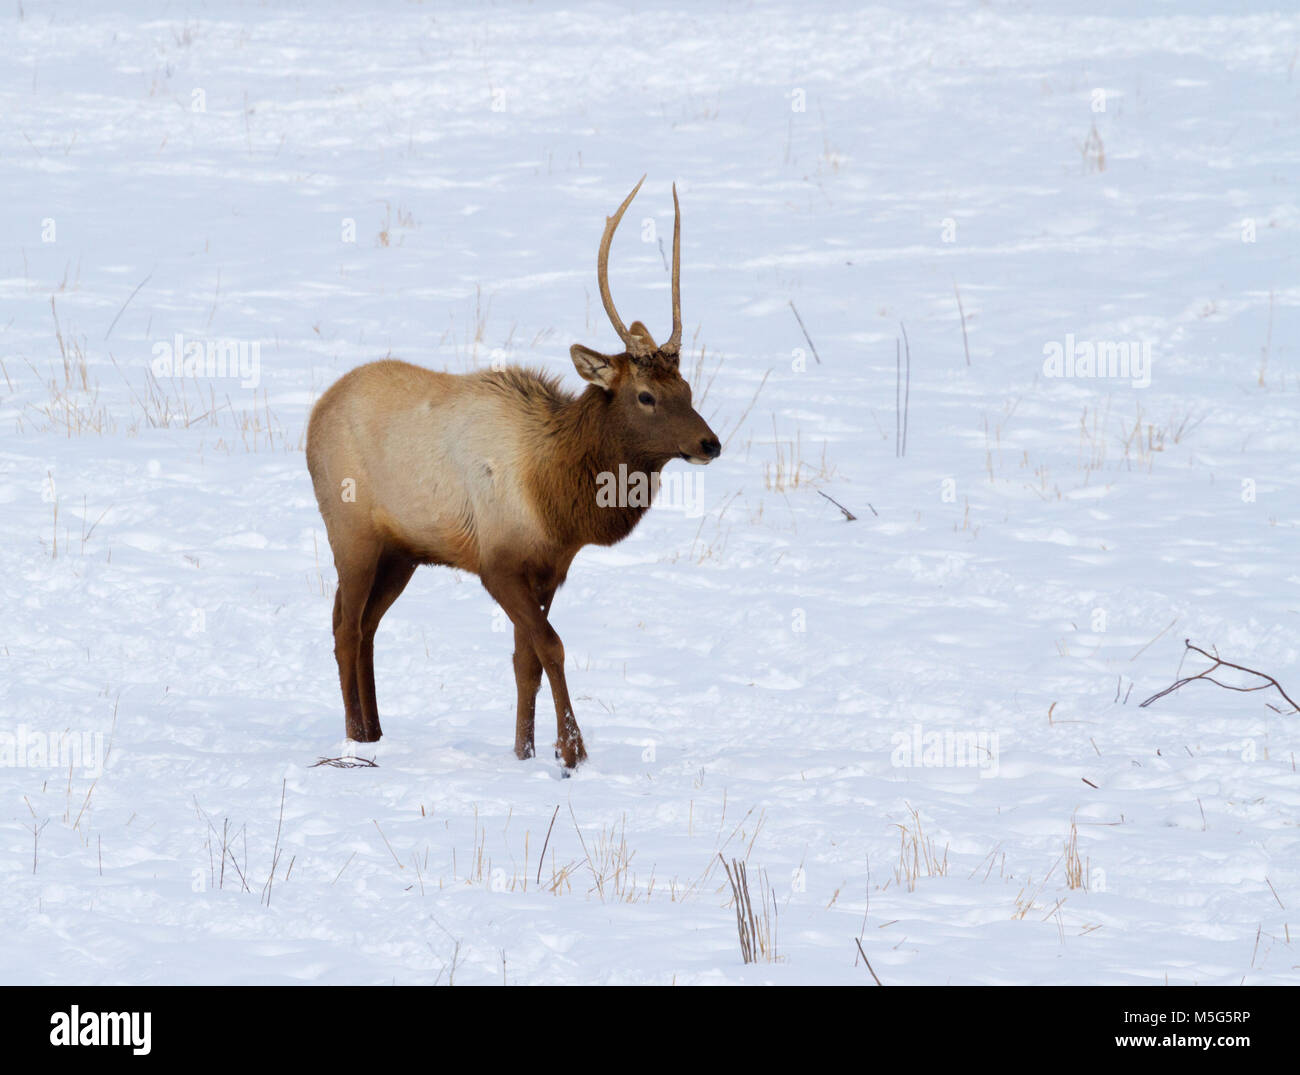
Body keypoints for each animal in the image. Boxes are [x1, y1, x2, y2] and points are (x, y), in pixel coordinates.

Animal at [306, 178, 721, 770]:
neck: (557, 493)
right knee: (344, 626)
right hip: (352, 534)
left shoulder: (548, 569)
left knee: (366, 625)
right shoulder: (497, 565)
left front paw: (525, 752)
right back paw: (353, 738)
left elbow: (526, 661)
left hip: (402, 552)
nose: (710, 443)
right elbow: (552, 646)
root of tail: (315, 415)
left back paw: (375, 732)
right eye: (646, 395)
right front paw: (571, 752)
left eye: (686, 388)